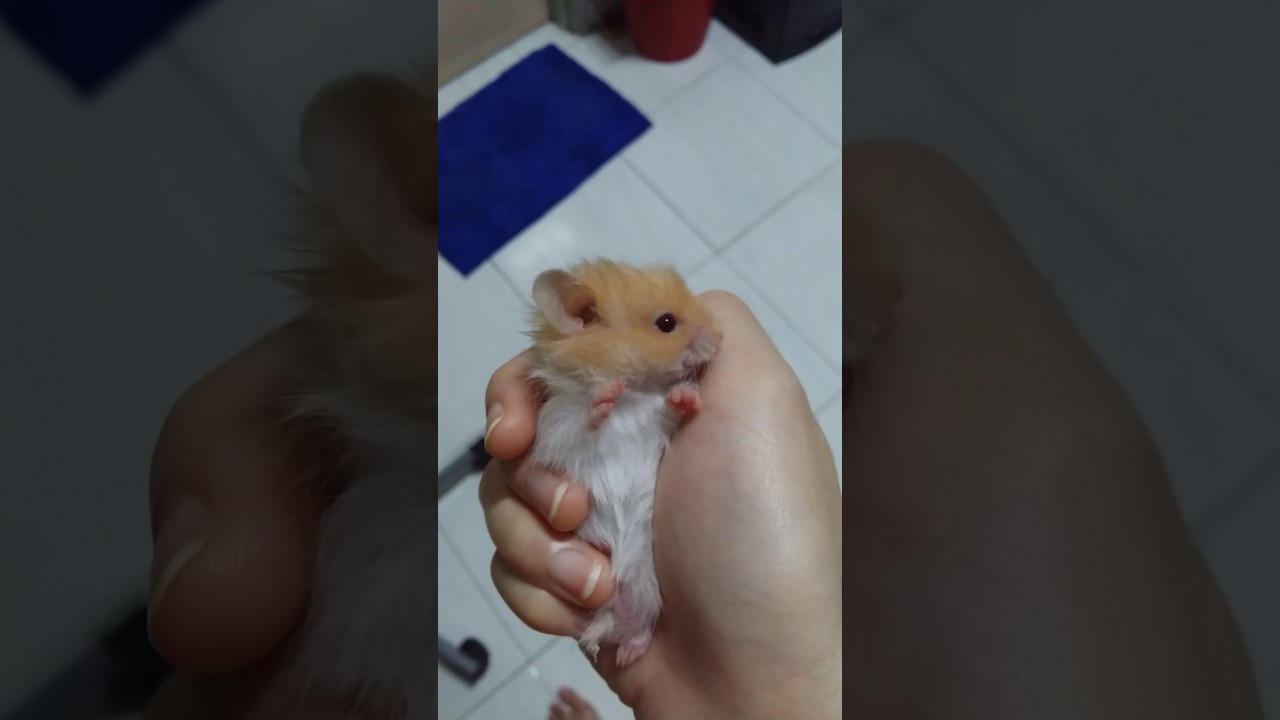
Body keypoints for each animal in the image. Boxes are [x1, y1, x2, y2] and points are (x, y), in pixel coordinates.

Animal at [526, 260, 722, 667]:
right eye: (666, 322)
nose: (721, 337)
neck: (632, 392)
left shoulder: (655, 418)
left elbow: (669, 406)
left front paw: (686, 396)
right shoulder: (556, 427)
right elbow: (583, 420)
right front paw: (604, 397)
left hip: (646, 587)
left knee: (640, 625)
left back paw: (627, 653)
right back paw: (606, 647)